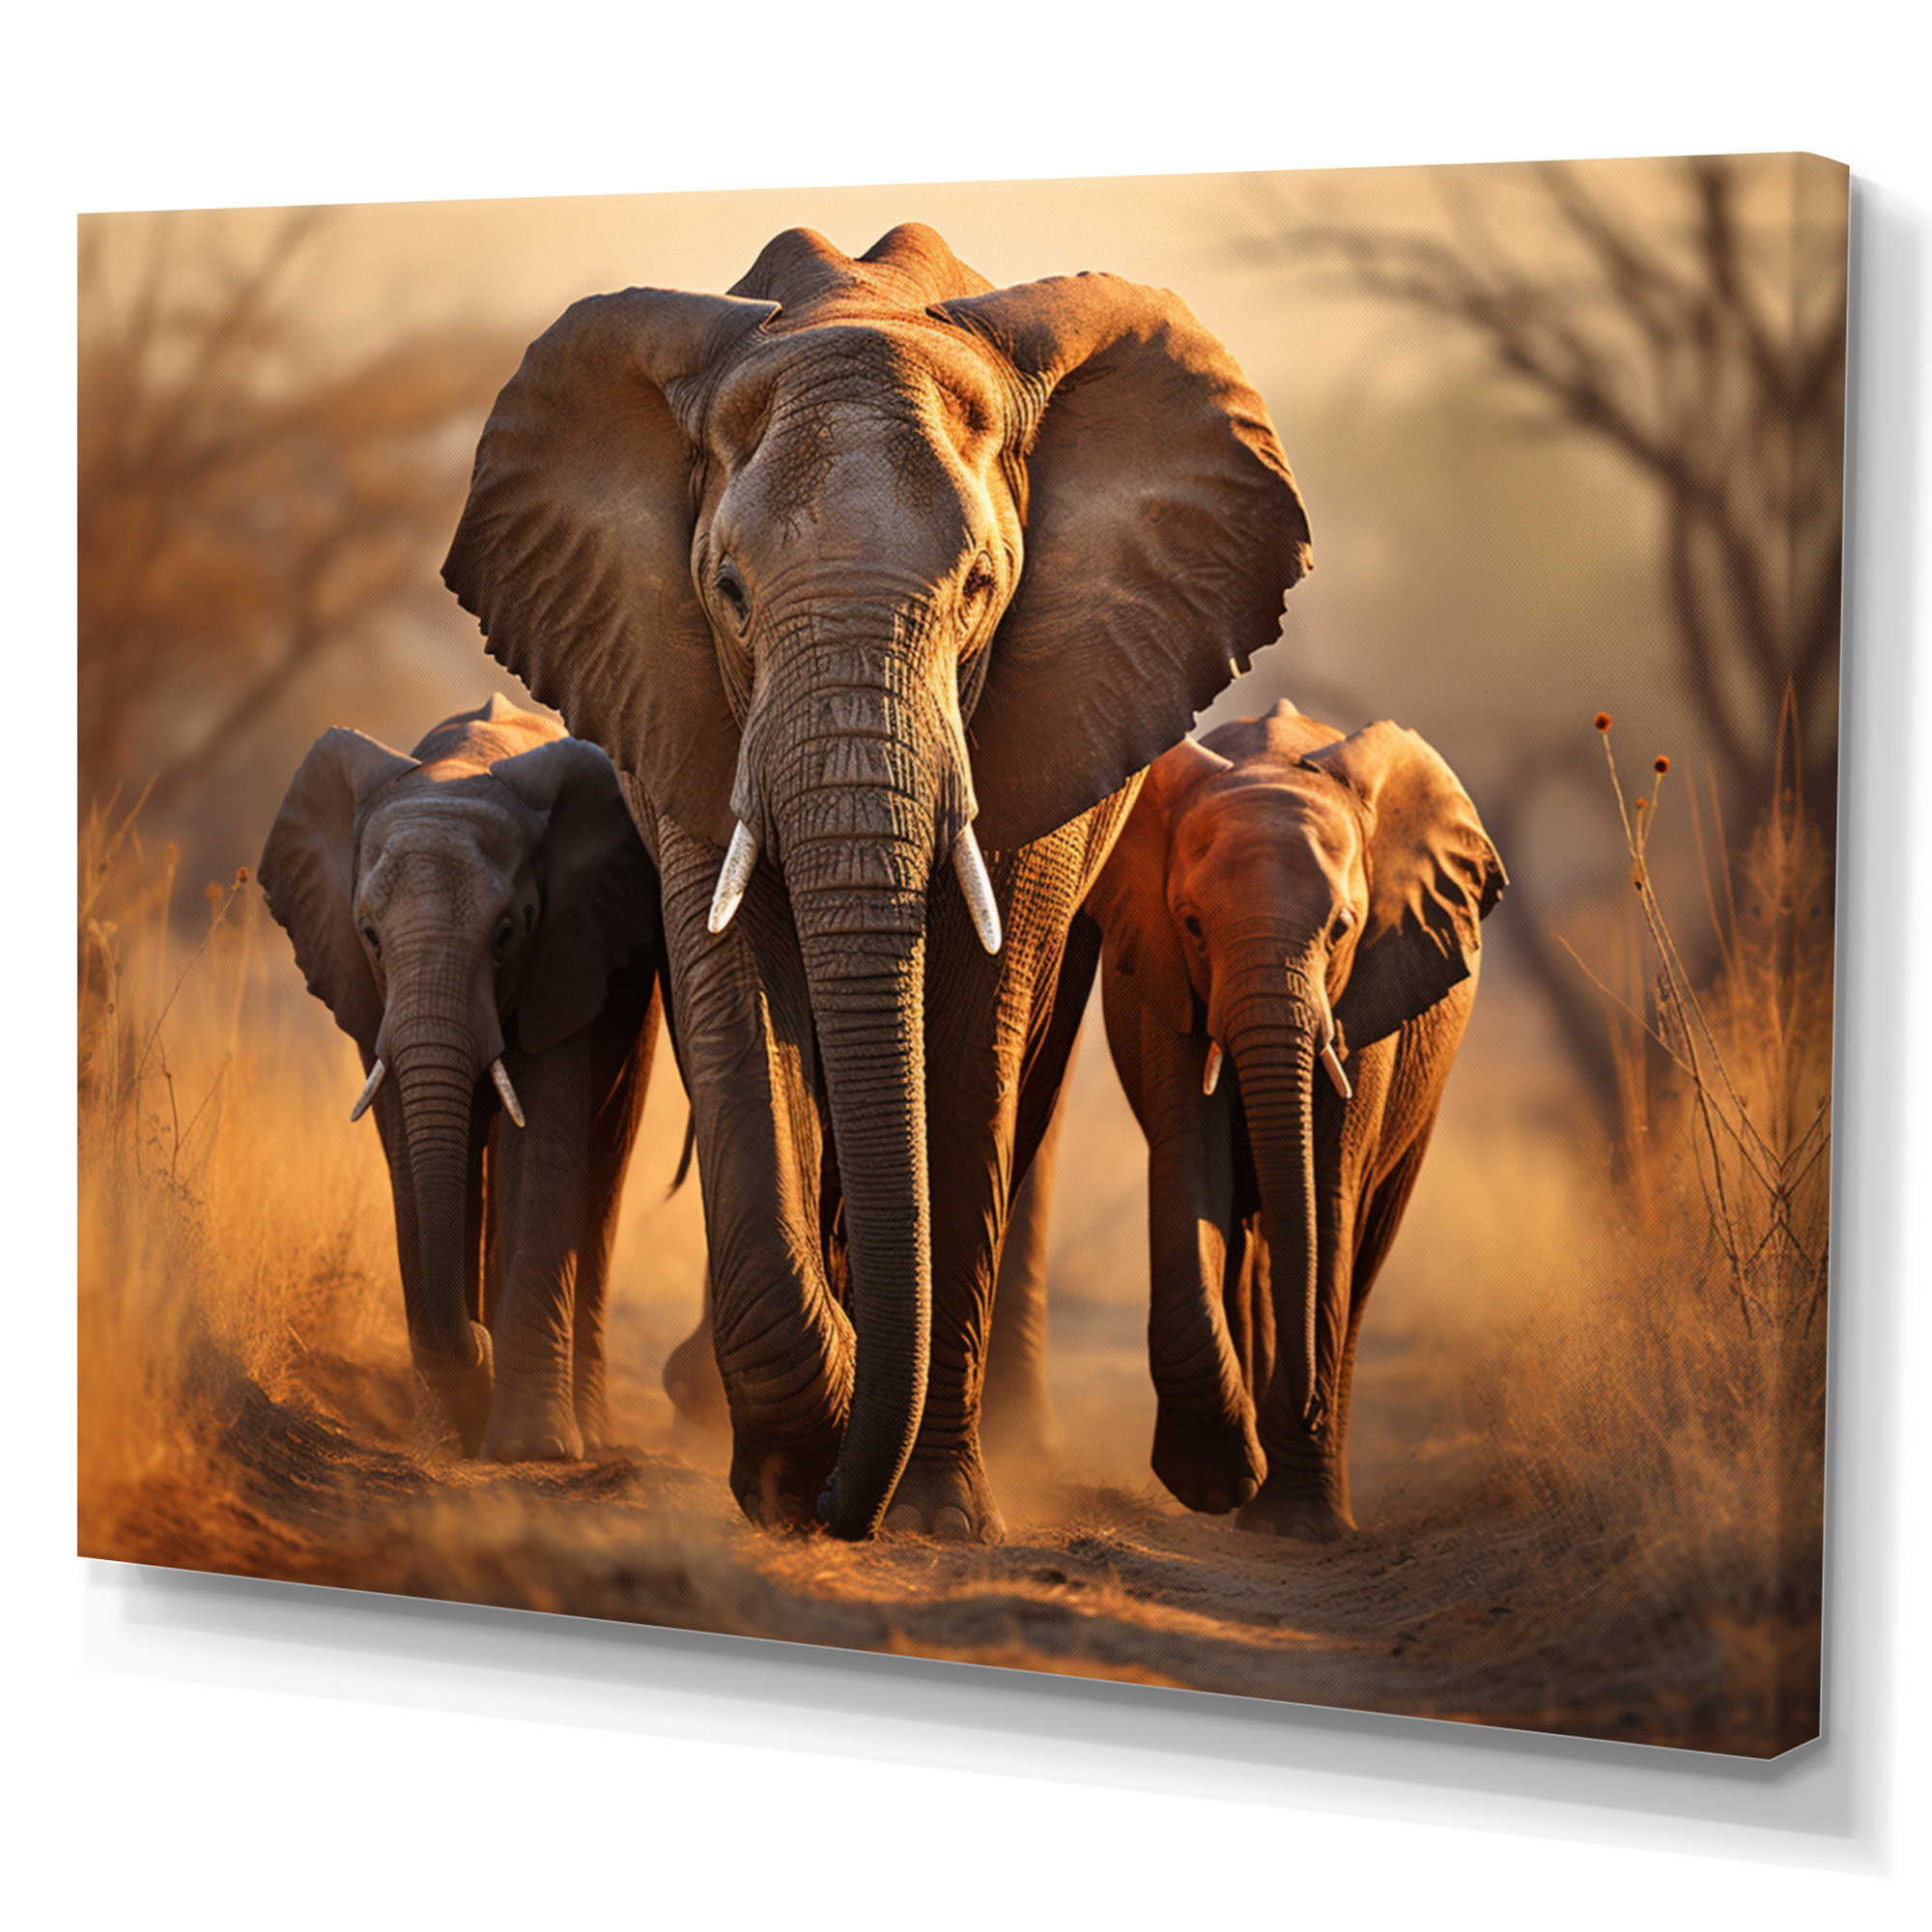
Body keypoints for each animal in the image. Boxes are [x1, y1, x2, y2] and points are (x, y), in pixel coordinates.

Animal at [258, 694, 662, 1461]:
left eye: (509, 933)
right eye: (370, 935)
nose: (476, 1341)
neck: (457, 773)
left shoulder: (564, 947)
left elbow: (539, 1149)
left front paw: (533, 1449)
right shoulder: (373, 997)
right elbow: (409, 1160)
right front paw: (451, 1438)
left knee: (602, 1161)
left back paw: (585, 1429)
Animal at [441, 222, 1312, 1541]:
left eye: (980, 591)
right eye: (729, 593)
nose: (840, 1499)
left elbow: (972, 1035)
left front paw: (935, 1512)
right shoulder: (678, 701)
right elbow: (734, 1007)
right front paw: (792, 1462)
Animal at [1082, 701, 1505, 1539]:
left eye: (1341, 928)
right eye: (1192, 924)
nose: (1299, 1401)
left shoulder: (1371, 989)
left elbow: (1330, 1191)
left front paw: (1294, 1526)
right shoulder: (1164, 980)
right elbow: (1191, 1173)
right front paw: (1216, 1482)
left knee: (1361, 1249)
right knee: (1251, 1236)